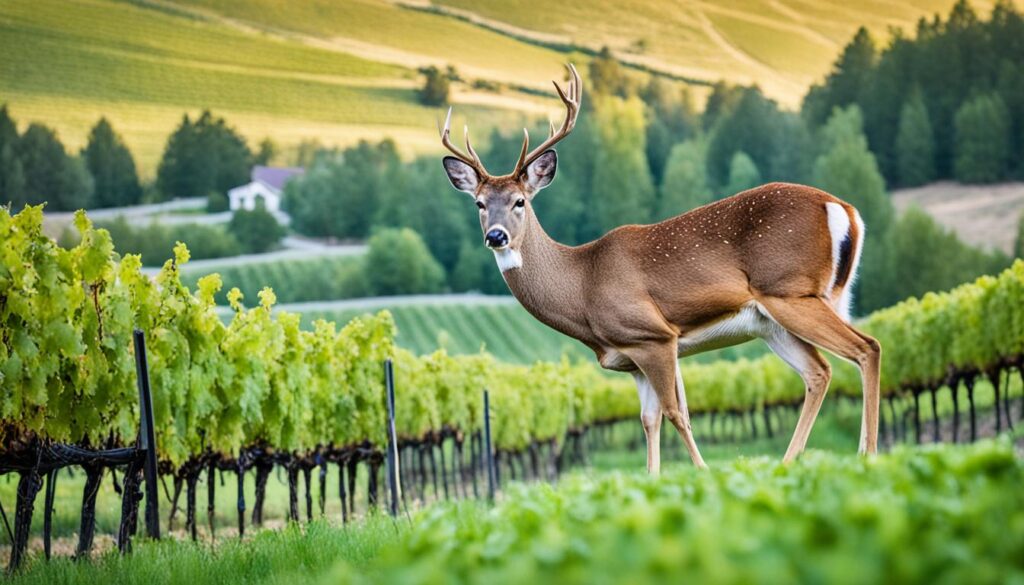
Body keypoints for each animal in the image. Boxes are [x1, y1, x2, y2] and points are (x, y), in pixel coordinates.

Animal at [439, 64, 881, 472]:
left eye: (520, 201)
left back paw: (868, 454)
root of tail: (845, 211)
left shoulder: (653, 335)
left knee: (866, 347)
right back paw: (791, 462)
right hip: (776, 320)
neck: (583, 287)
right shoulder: (631, 357)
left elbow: (677, 413)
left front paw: (702, 474)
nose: (496, 236)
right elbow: (648, 420)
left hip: (790, 291)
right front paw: (653, 480)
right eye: (479, 203)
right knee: (819, 372)